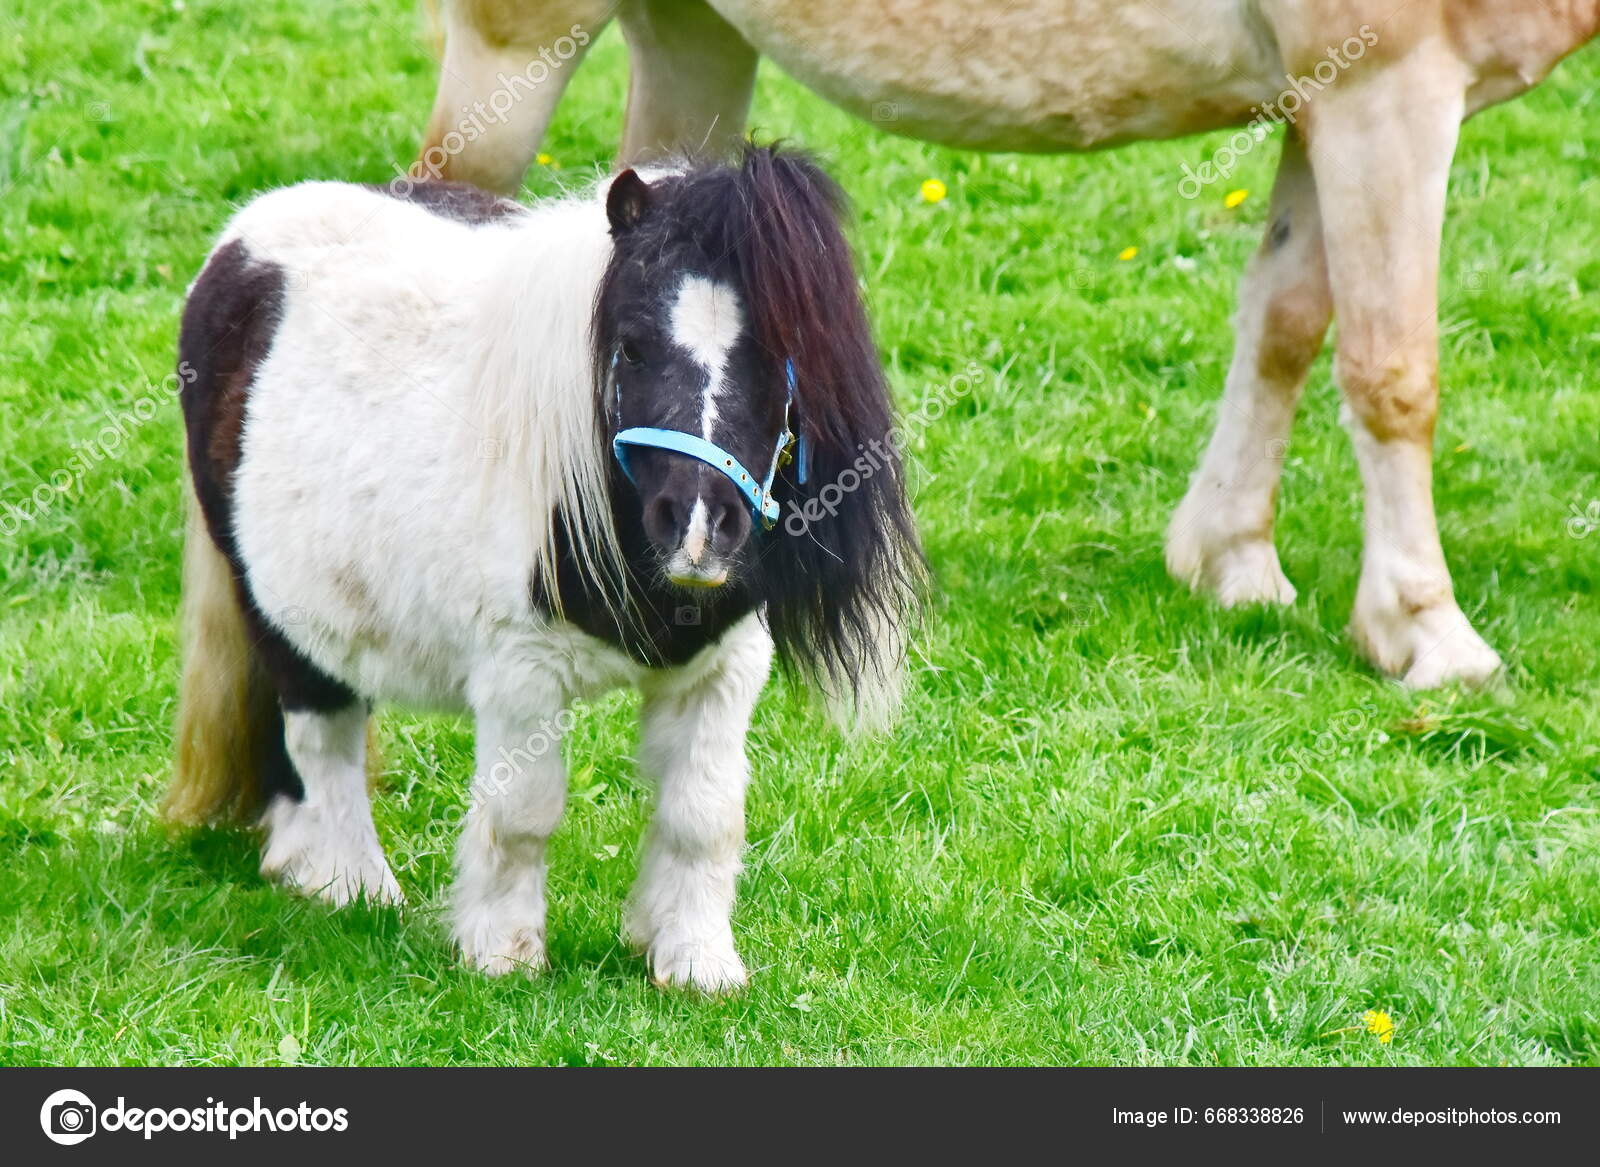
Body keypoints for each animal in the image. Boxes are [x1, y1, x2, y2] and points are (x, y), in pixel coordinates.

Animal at [162, 145, 923, 992]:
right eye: (632, 345)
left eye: (783, 356)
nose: (698, 530)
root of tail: (242, 240)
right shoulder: (519, 674)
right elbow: (522, 813)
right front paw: (501, 953)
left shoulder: (721, 671)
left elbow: (703, 812)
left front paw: (692, 958)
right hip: (277, 606)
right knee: (321, 732)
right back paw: (349, 883)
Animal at [418, 0, 1600, 689]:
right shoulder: (1387, 90)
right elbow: (1392, 369)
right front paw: (1422, 628)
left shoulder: (1325, 103)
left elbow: (1288, 323)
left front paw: (1232, 556)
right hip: (516, 42)